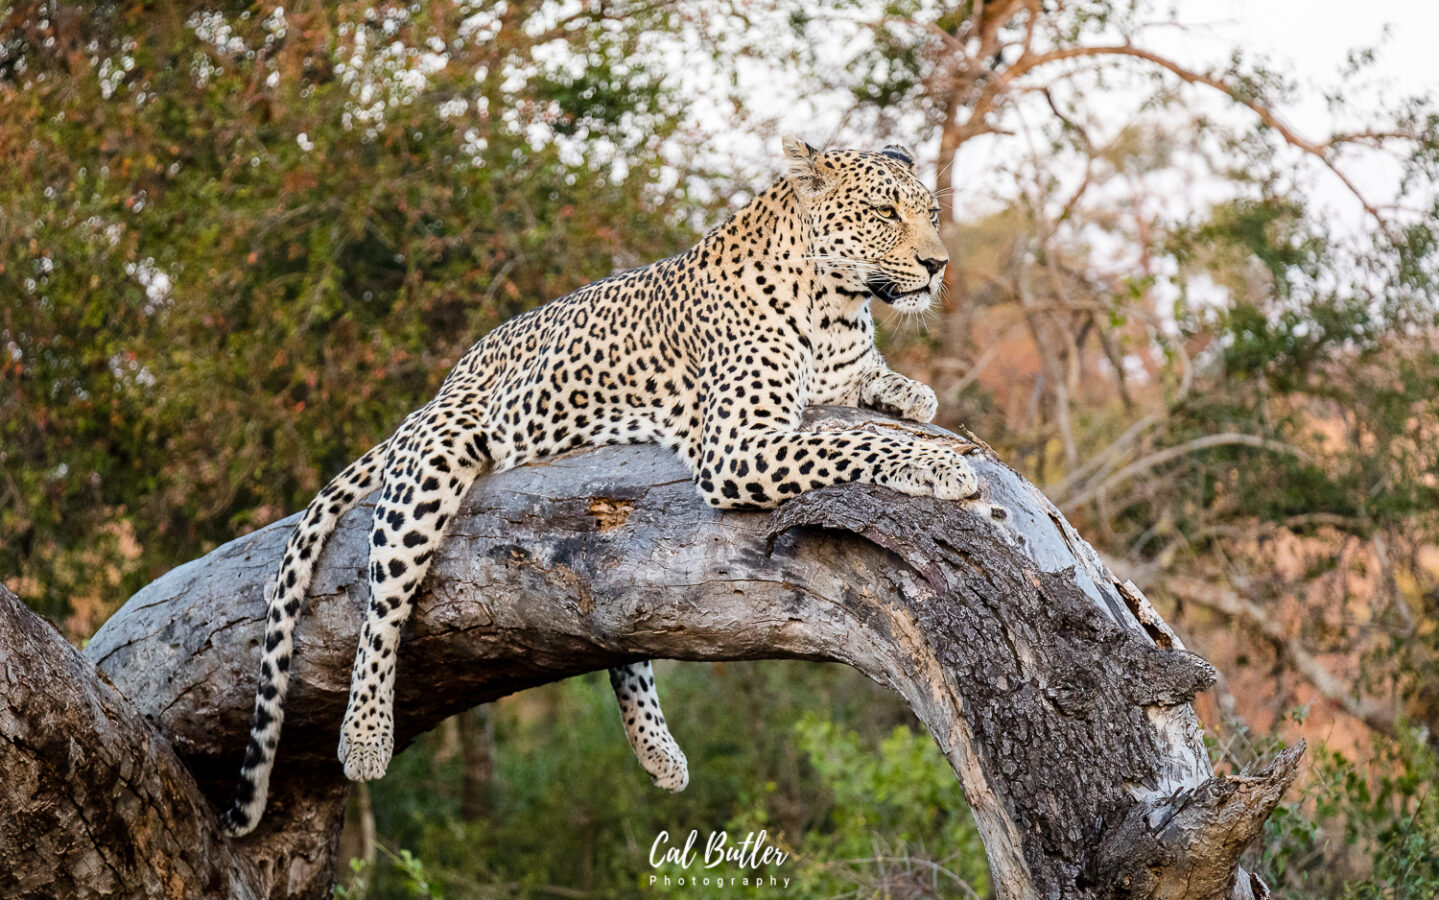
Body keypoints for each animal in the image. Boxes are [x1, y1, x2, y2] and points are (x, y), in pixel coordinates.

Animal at [219, 136, 979, 836]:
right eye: (884, 212)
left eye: (932, 213)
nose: (938, 265)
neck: (835, 307)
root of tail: (447, 379)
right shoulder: (738, 445)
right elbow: (850, 442)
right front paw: (940, 466)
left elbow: (881, 393)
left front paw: (909, 393)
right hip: (435, 461)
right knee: (384, 601)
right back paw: (365, 736)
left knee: (616, 635)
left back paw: (658, 753)